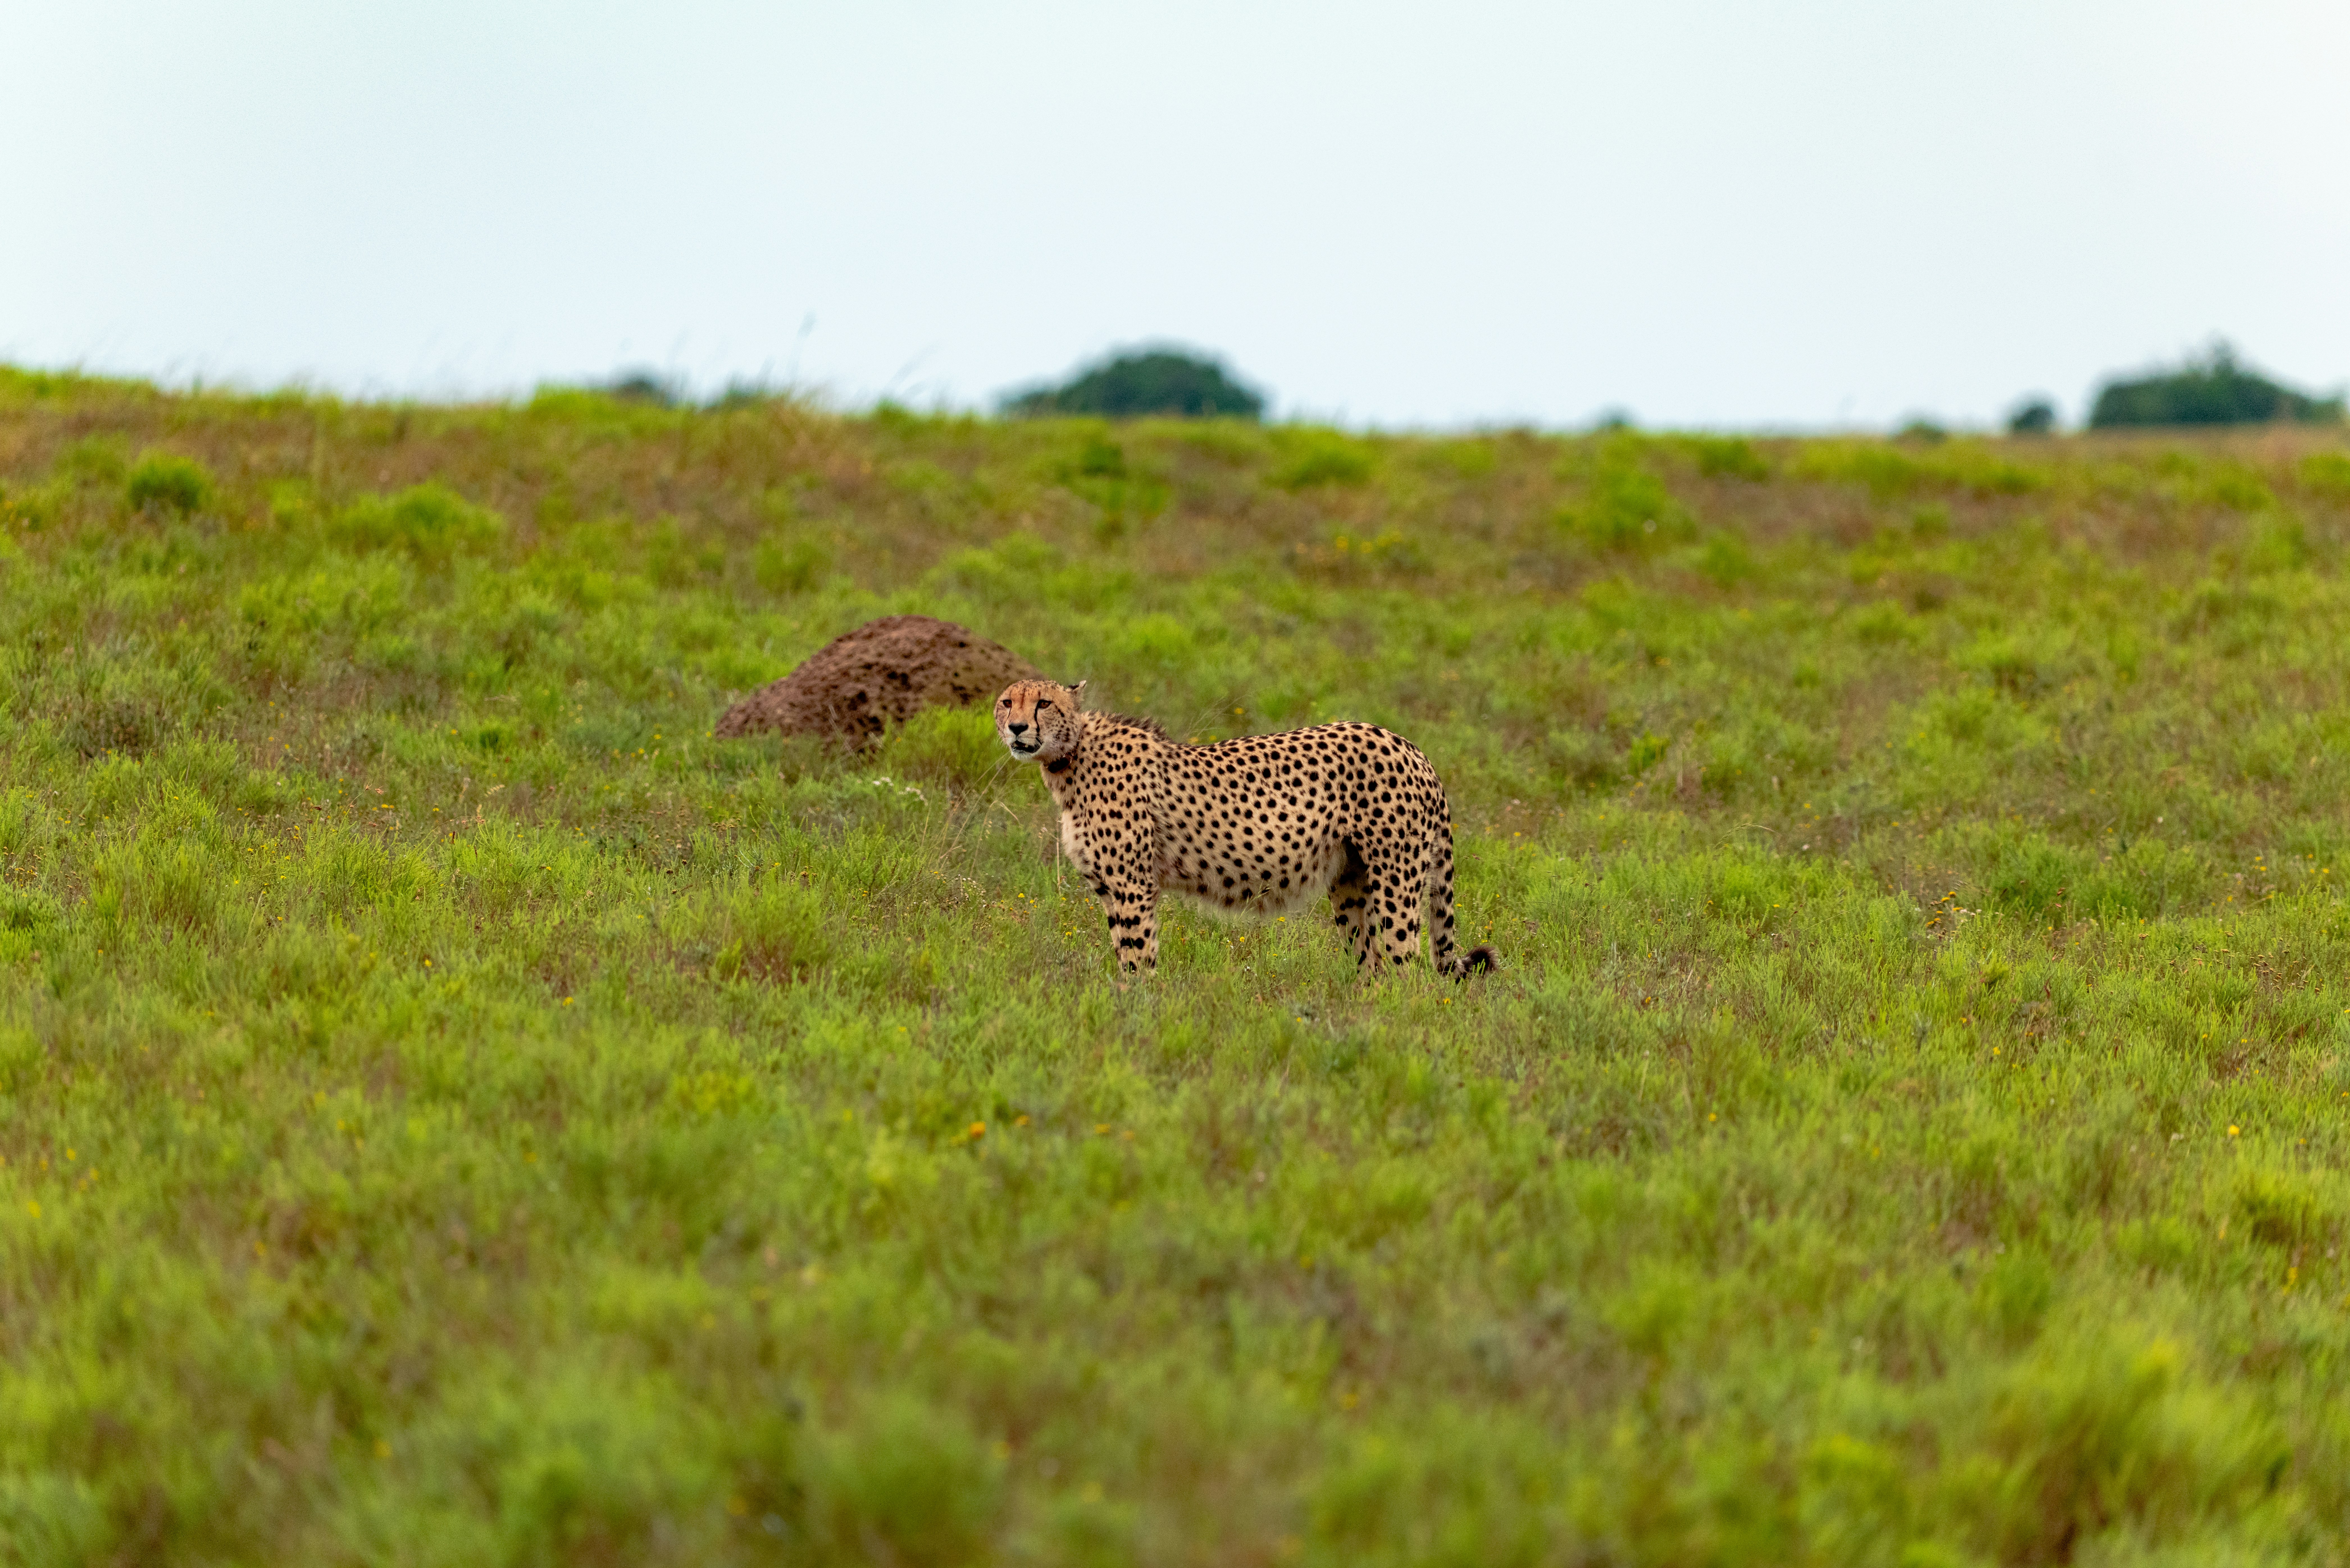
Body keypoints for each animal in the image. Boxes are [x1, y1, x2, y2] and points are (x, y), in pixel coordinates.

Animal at [996, 678, 1498, 981]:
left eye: (1044, 703)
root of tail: (1410, 746)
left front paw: (1138, 1018)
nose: (1018, 727)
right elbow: (1125, 953)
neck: (1070, 757)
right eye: (1007, 702)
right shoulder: (1109, 887)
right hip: (1351, 880)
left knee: (1405, 970)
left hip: (1397, 881)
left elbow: (1138, 957)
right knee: (1369, 964)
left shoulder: (1132, 885)